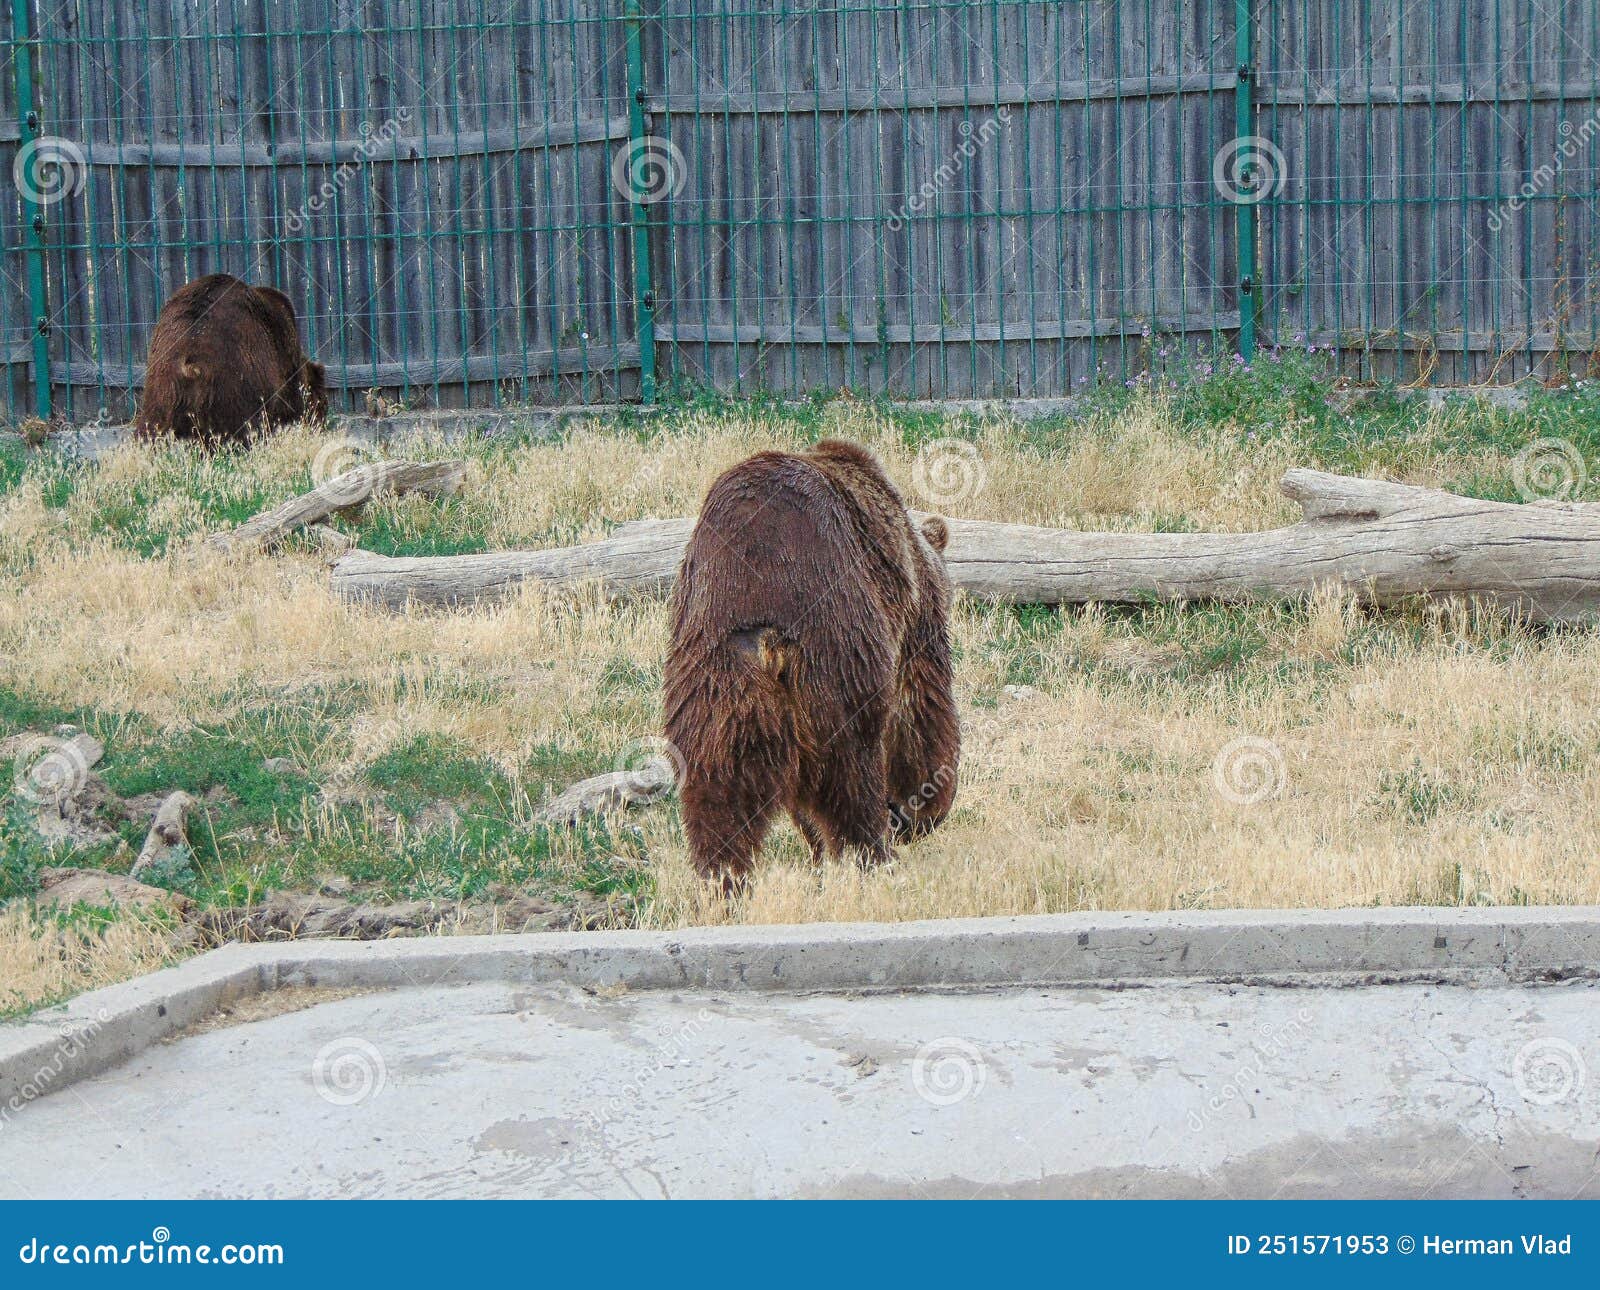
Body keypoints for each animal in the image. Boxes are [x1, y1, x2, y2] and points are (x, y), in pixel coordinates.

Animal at [135, 273, 327, 444]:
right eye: (321, 402)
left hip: (160, 384)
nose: (322, 424)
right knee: (238, 429)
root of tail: (188, 359)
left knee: (151, 427)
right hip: (232, 381)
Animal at [663, 438, 960, 893]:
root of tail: (766, 639)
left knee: (718, 795)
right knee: (853, 771)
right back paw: (876, 857)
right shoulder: (910, 617)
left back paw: (725, 881)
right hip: (838, 660)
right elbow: (921, 707)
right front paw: (924, 808)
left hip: (712, 688)